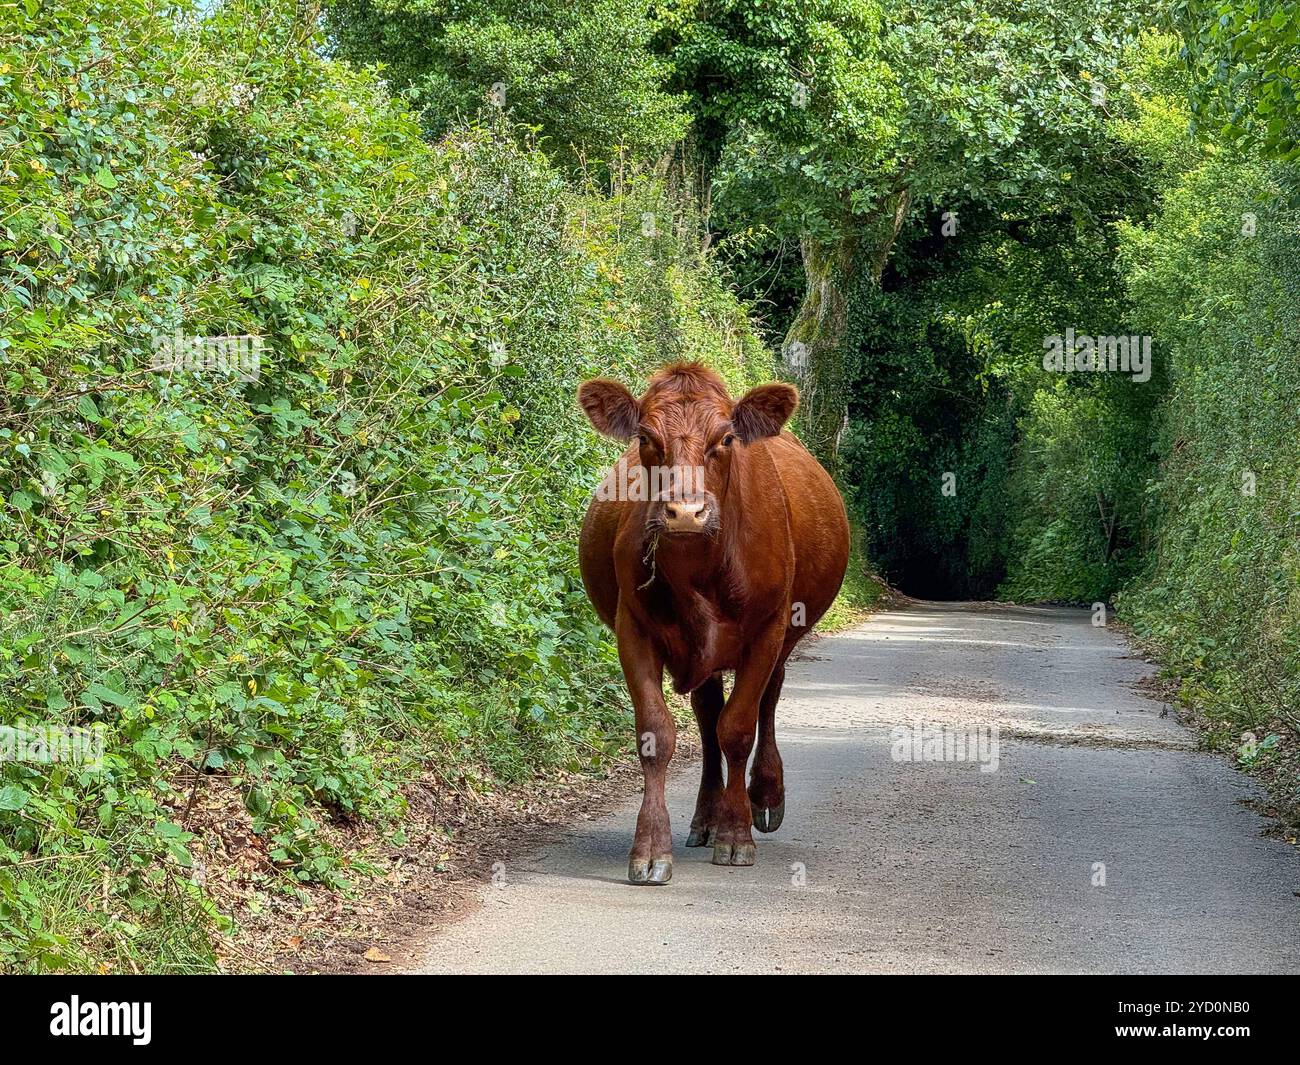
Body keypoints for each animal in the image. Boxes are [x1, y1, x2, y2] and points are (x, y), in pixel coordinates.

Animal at [577, 362, 850, 884]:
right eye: (646, 437)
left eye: (725, 439)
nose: (685, 512)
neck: (698, 571)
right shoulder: (633, 629)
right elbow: (657, 734)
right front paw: (651, 847)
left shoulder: (766, 630)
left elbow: (739, 728)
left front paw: (736, 834)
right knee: (706, 719)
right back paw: (705, 817)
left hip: (783, 634)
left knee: (766, 700)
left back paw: (764, 795)